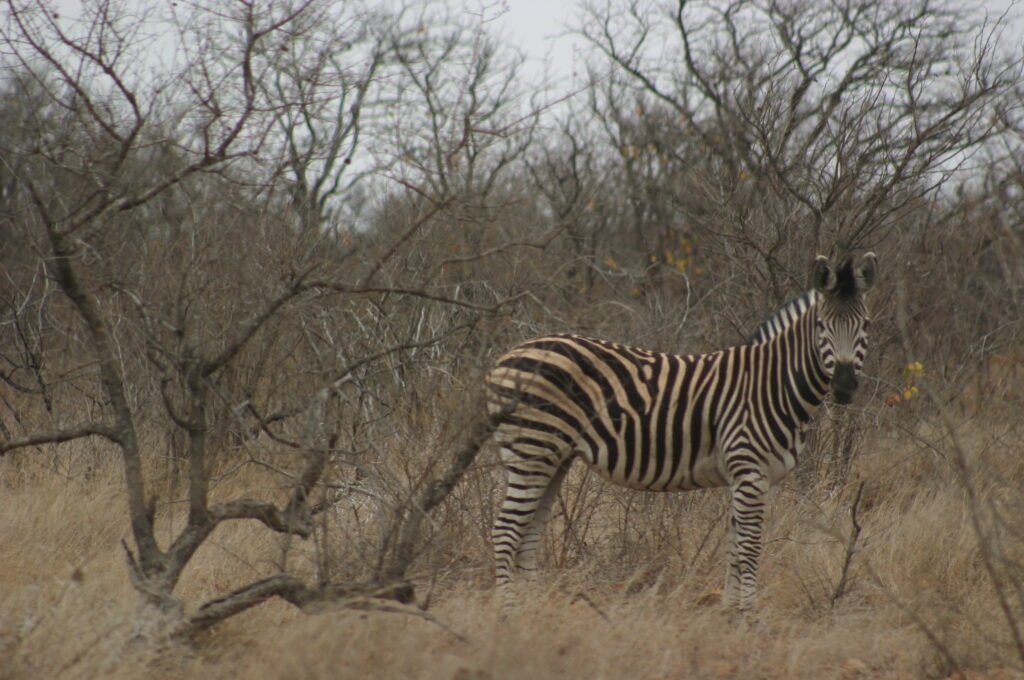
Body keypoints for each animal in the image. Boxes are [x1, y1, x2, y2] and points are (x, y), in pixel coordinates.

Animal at [485, 252, 877, 614]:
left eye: (866, 325)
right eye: (822, 326)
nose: (844, 387)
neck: (772, 385)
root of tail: (507, 355)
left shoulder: (742, 476)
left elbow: (734, 548)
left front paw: (730, 614)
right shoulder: (750, 471)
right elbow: (750, 548)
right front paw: (750, 617)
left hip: (554, 457)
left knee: (528, 534)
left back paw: (533, 607)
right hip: (531, 450)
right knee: (505, 530)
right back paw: (508, 612)